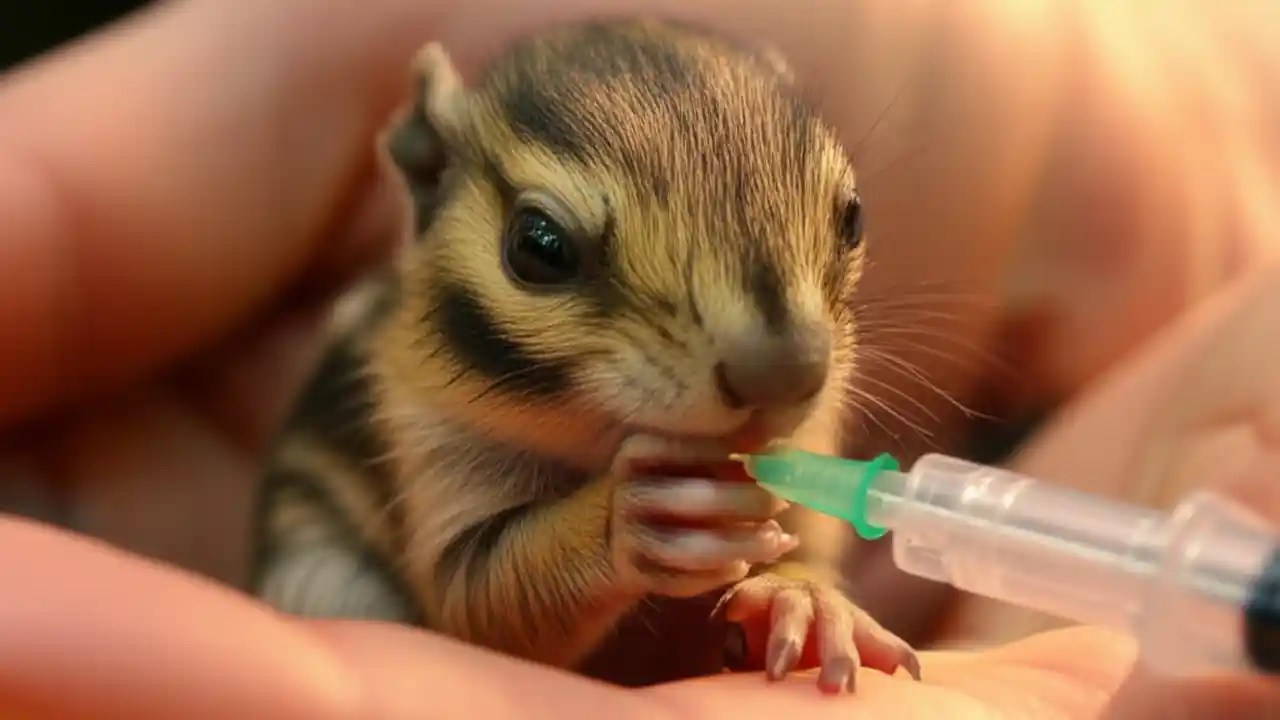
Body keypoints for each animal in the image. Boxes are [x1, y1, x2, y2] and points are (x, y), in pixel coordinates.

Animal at [249, 17, 919, 694]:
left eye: (854, 217)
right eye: (538, 246)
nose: (785, 375)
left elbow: (807, 551)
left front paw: (807, 601)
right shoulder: (427, 439)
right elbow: (478, 603)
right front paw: (640, 515)